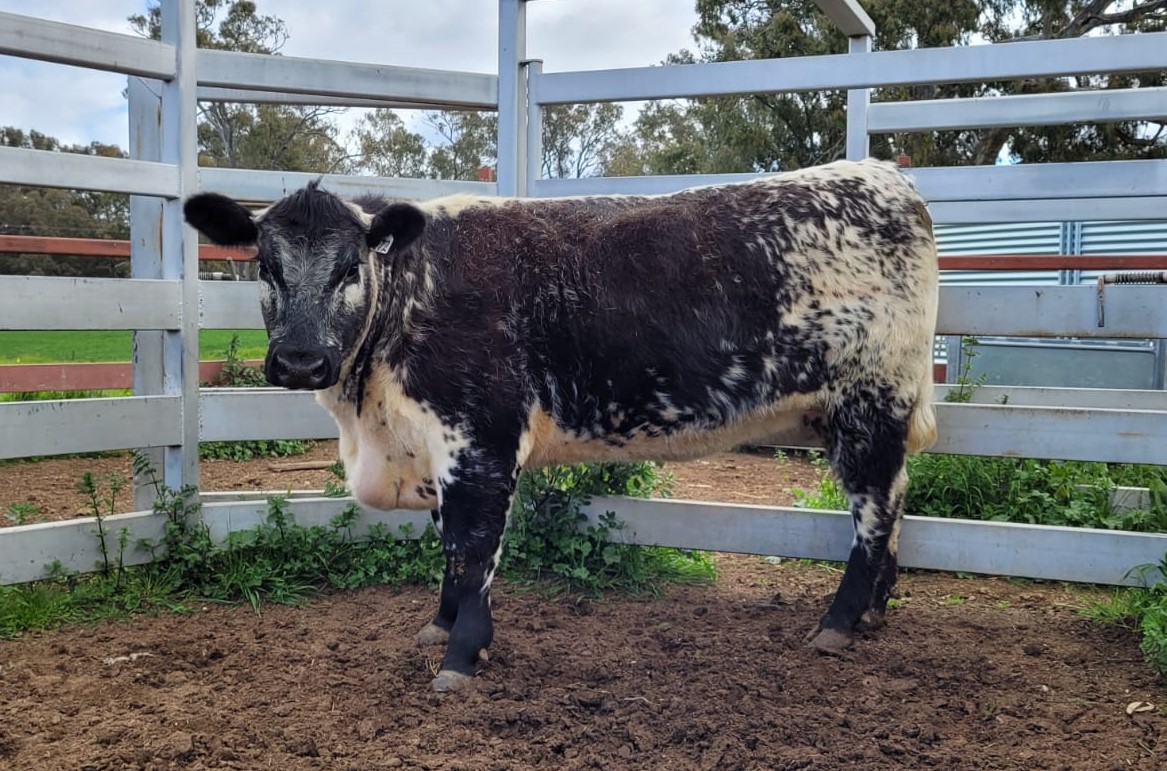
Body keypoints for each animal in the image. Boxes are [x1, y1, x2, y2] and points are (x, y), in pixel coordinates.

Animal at [183, 158, 940, 692]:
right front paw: (442, 626)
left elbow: (470, 547)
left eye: (349, 267)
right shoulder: (437, 448)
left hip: (870, 404)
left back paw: (838, 623)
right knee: (895, 505)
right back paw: (872, 613)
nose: (299, 360)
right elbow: (449, 549)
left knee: (873, 513)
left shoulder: (480, 439)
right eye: (265, 264)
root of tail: (881, 176)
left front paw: (462, 652)